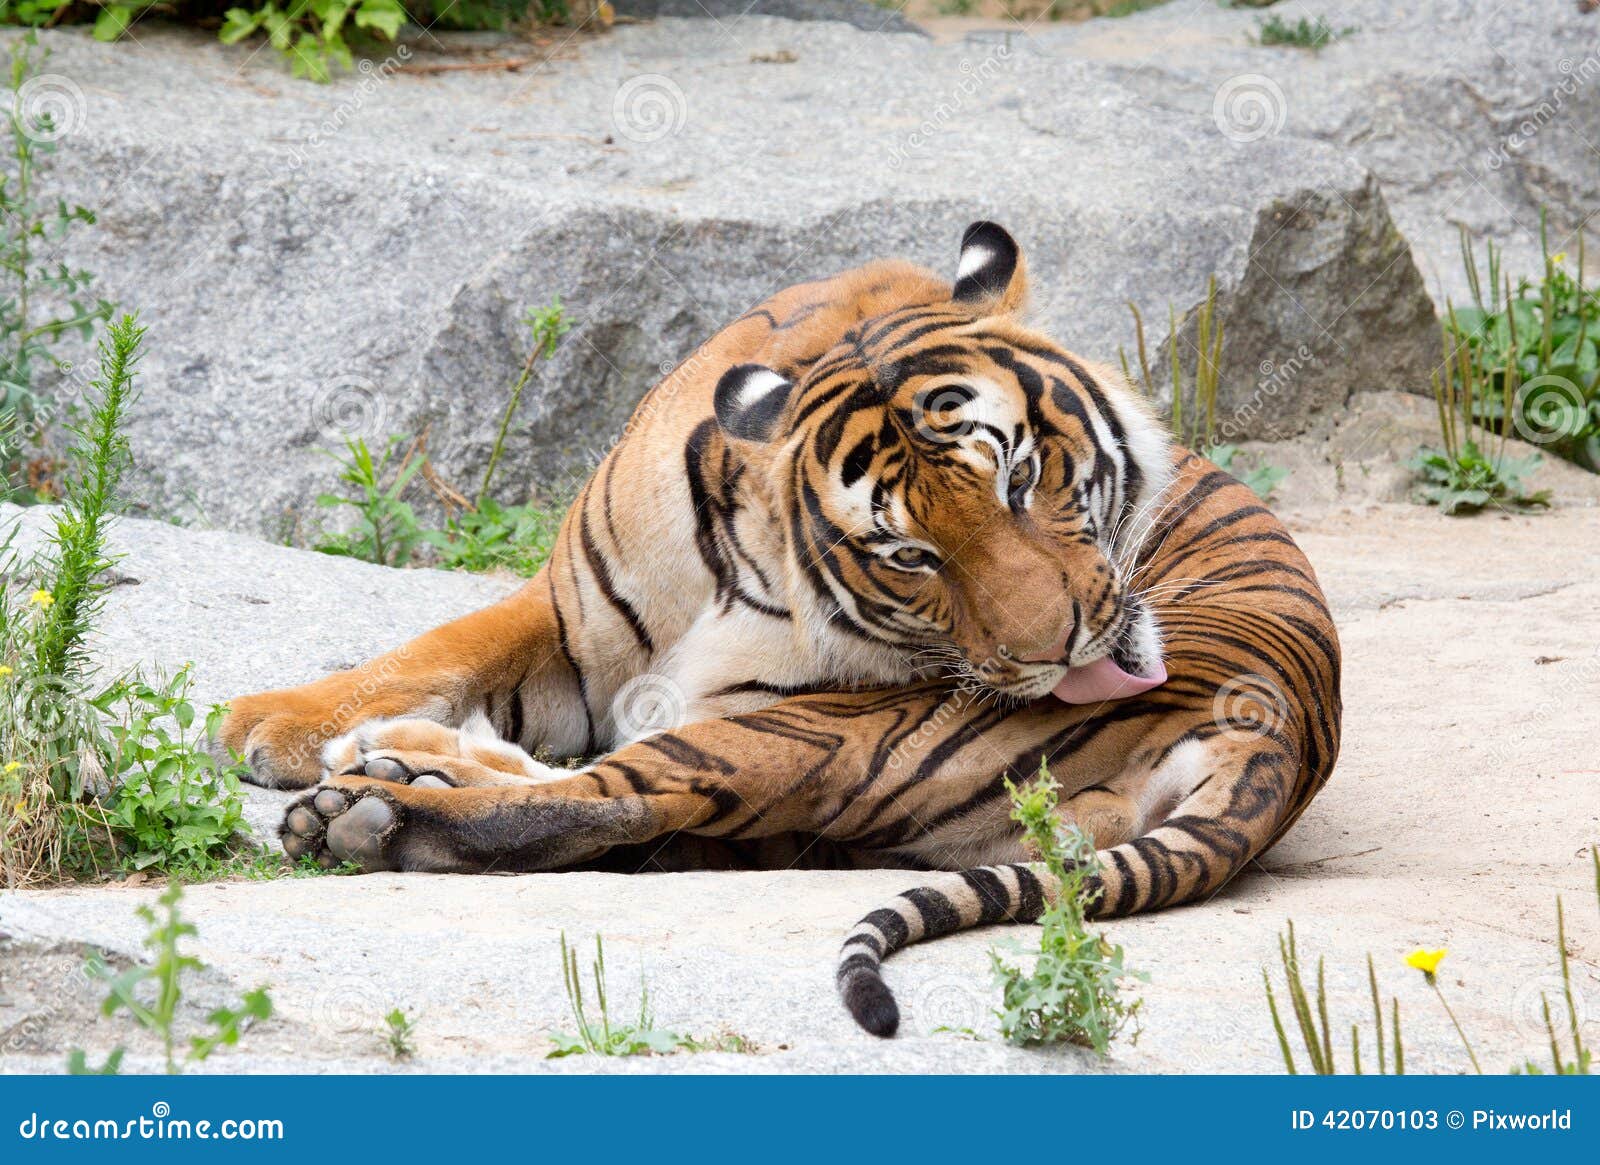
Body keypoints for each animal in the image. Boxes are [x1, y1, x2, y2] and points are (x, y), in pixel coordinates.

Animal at [219, 222, 1341, 1038]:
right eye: (909, 553)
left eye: (1021, 477)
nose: (1057, 650)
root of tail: (1276, 735)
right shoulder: (576, 623)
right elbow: (444, 645)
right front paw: (272, 722)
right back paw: (394, 759)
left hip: (824, 734)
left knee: (612, 799)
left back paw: (374, 808)